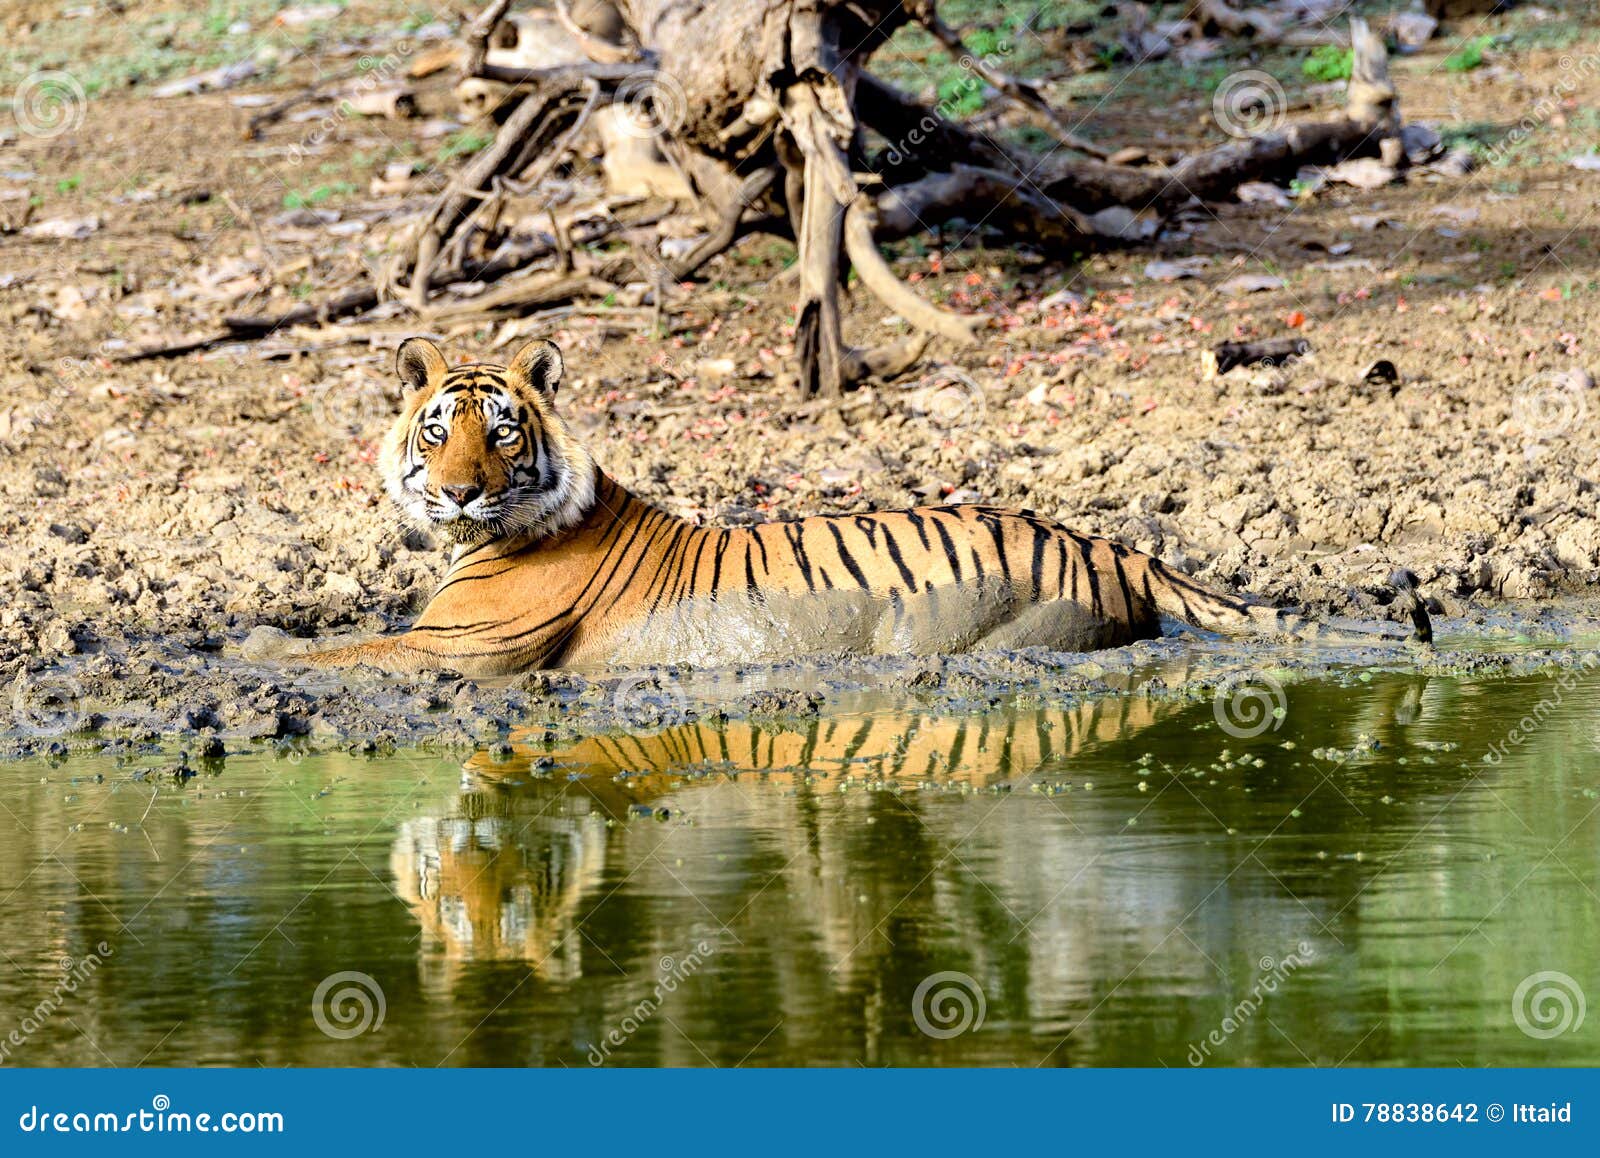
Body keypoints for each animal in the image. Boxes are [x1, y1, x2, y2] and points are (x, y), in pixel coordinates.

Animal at [291, 337, 1429, 675]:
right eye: (438, 430)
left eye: (501, 433)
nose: (458, 490)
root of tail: (1109, 543)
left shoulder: (460, 647)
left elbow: (325, 655)